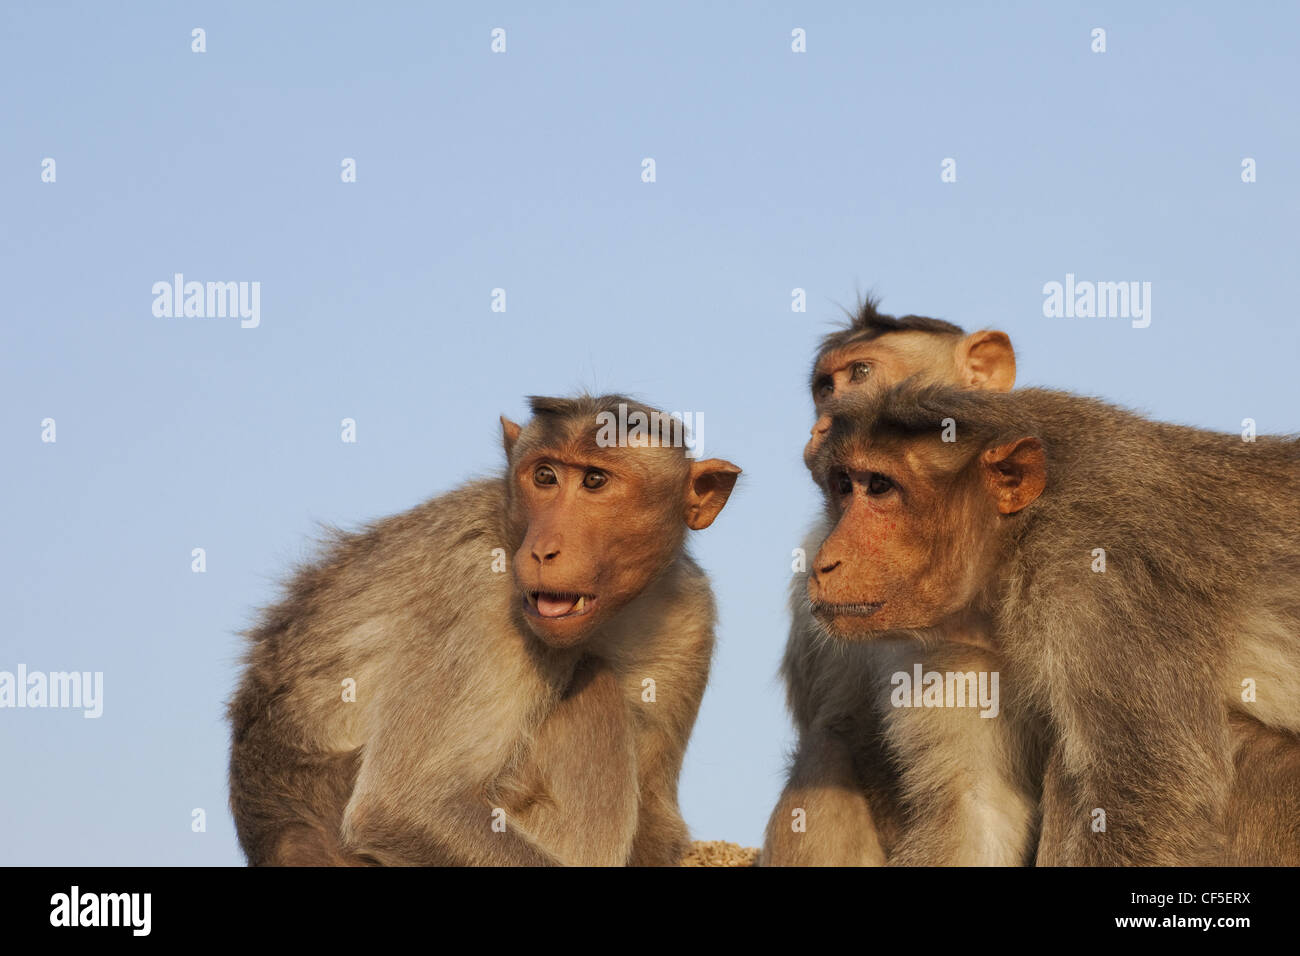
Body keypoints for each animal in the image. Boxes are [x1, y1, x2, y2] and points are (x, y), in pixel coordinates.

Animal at [228, 394, 740, 866]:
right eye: (545, 476)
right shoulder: (486, 593)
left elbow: (654, 813)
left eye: (595, 481)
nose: (543, 550)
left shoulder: (690, 613)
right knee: (593, 687)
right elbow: (404, 806)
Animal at [805, 382, 1300, 865]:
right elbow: (975, 811)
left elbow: (1150, 793)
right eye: (844, 485)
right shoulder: (957, 650)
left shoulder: (1099, 576)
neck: (1012, 549)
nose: (822, 563)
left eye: (880, 486)